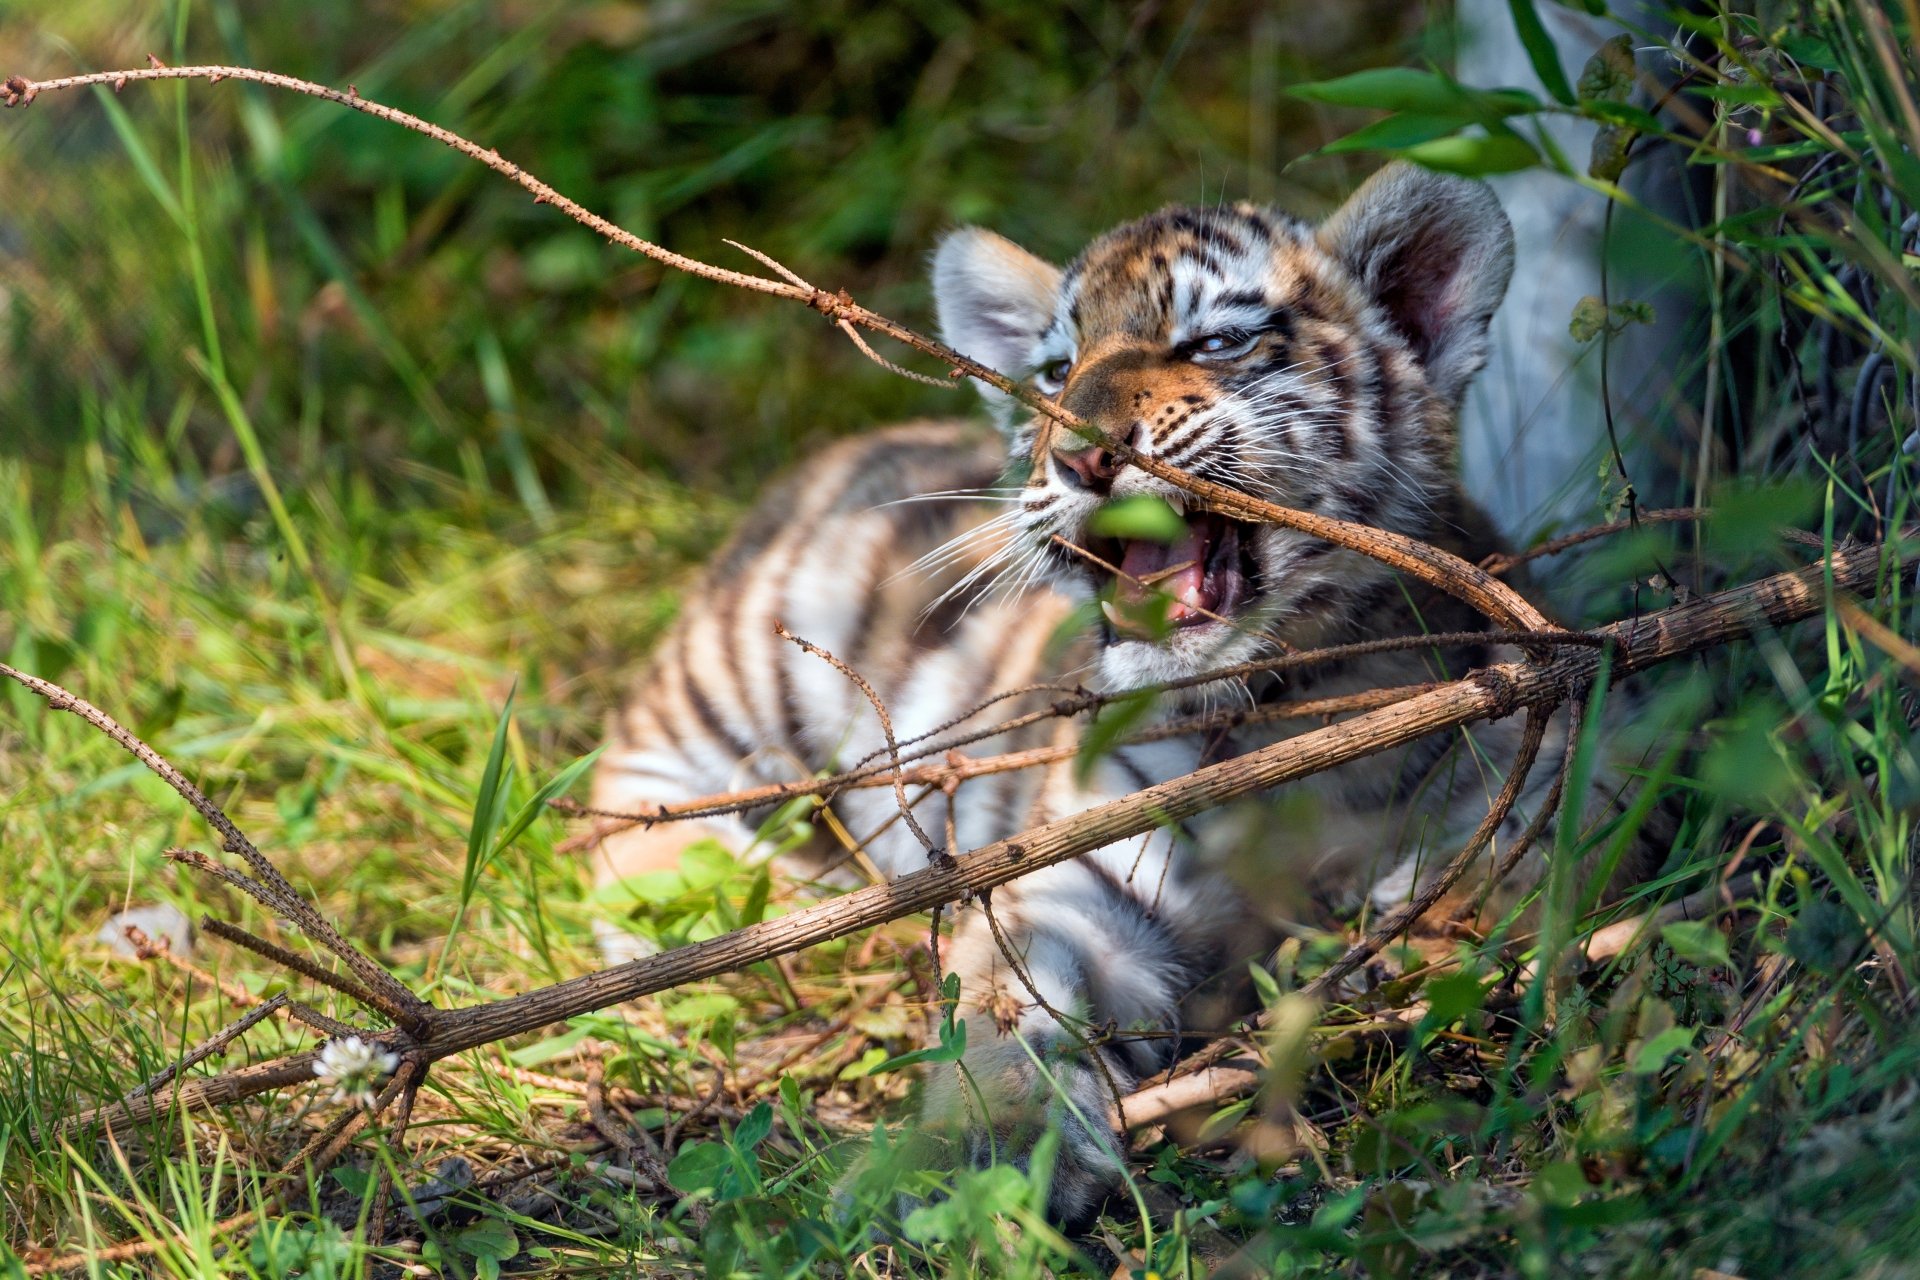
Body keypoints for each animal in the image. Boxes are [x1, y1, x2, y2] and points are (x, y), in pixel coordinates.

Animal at [588, 163, 1635, 1225]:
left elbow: (1544, 854)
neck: (1282, 708)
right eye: (1055, 372)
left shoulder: (1565, 756)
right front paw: (965, 1163)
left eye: (1215, 342)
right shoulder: (1081, 888)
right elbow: (998, 1015)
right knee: (624, 816)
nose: (1083, 454)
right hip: (745, 682)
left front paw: (1403, 927)